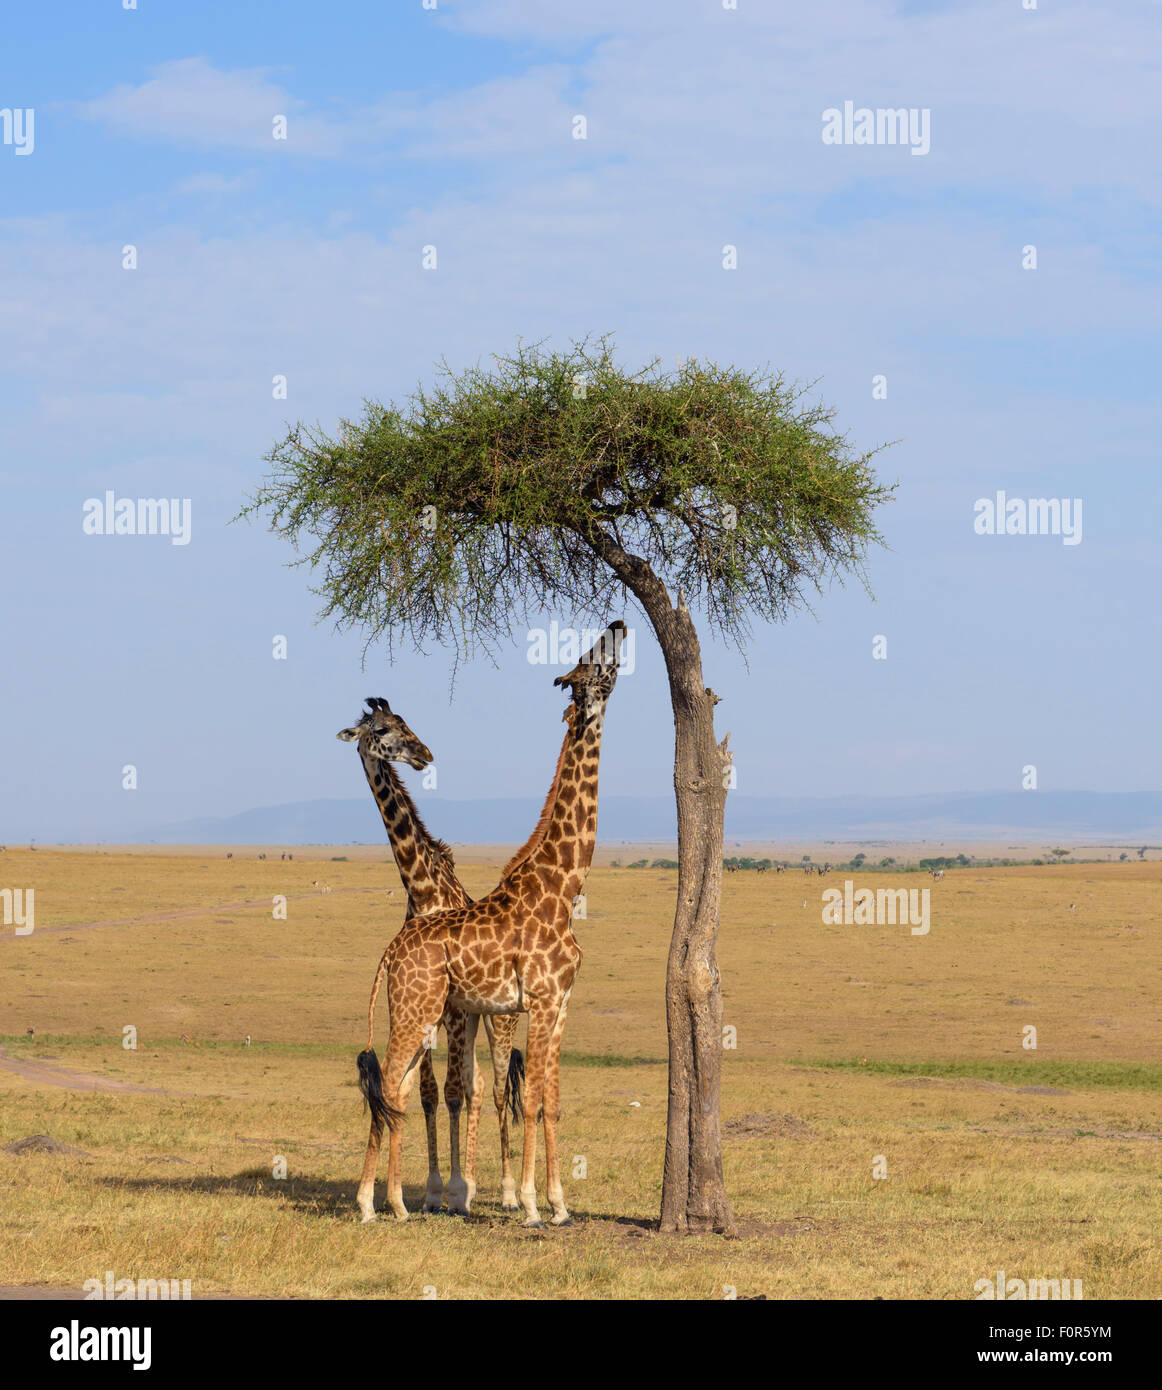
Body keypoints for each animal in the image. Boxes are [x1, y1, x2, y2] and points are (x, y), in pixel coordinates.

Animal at [337, 698, 524, 1214]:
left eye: (406, 724)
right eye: (381, 730)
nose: (424, 754)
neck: (423, 890)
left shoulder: (451, 1014)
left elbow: (454, 1093)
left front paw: (455, 1188)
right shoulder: (431, 1012)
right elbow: (425, 1093)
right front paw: (434, 1189)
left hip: (494, 1018)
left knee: (492, 1089)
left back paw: (503, 1191)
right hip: (466, 1018)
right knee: (471, 1085)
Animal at [356, 620, 625, 1226]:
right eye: (590, 660)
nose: (619, 625)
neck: (562, 887)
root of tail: (391, 948)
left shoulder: (561, 1002)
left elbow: (551, 1098)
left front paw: (558, 1203)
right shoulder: (540, 1000)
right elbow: (527, 1097)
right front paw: (527, 1204)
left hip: (426, 1012)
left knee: (401, 1088)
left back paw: (394, 1202)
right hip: (423, 1011)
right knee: (396, 1085)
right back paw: (373, 1204)